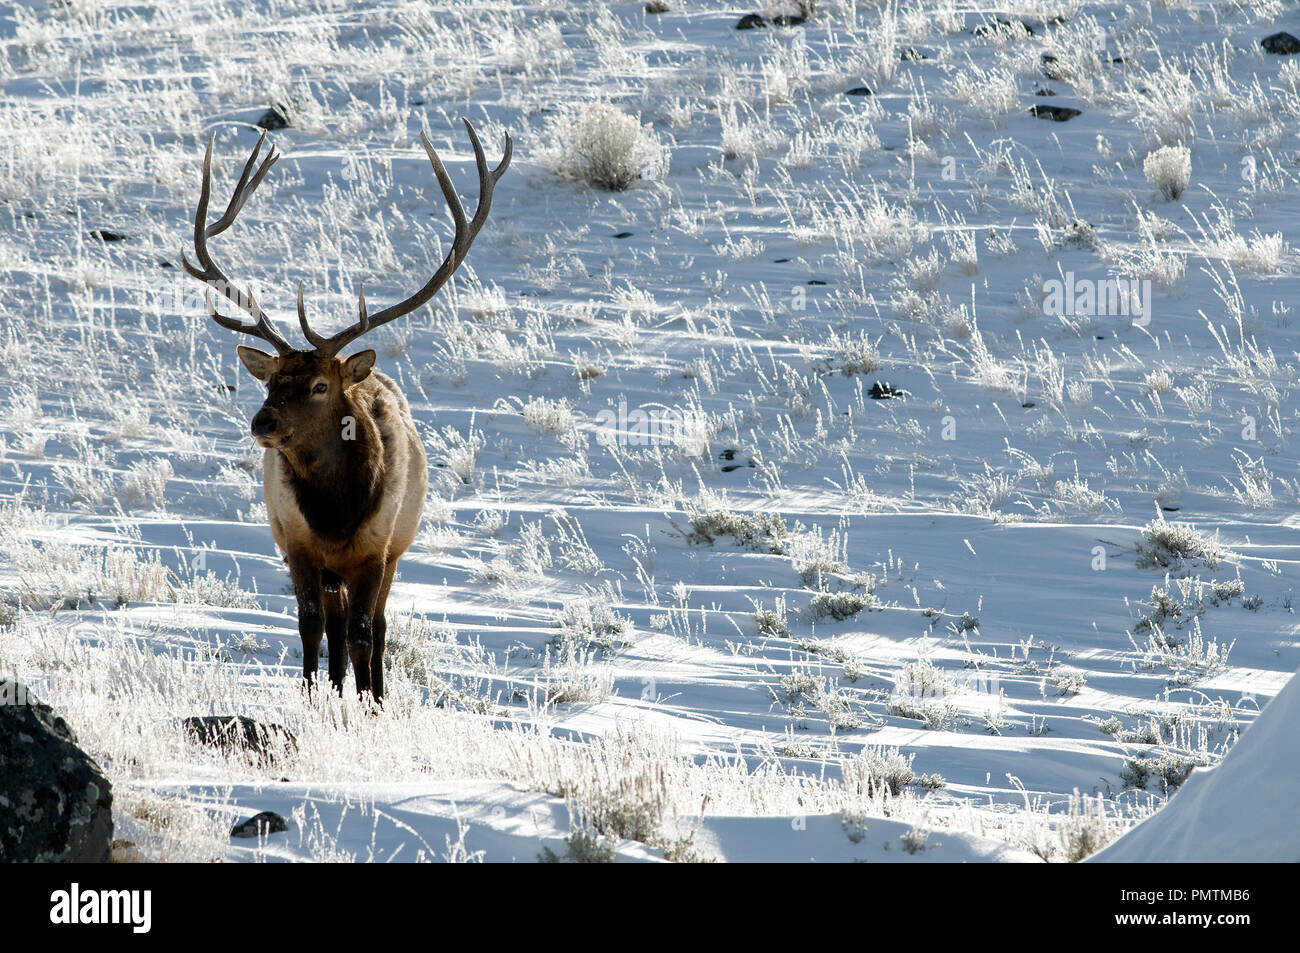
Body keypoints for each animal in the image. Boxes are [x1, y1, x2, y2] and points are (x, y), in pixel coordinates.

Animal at [182, 121, 512, 703]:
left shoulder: (376, 548)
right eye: (271, 382)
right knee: (333, 623)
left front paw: (370, 703)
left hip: (397, 547)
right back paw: (336, 685)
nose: (262, 423)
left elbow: (364, 631)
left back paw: (372, 691)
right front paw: (315, 696)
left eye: (319, 385)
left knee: (374, 626)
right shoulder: (296, 542)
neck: (336, 513)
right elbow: (311, 623)